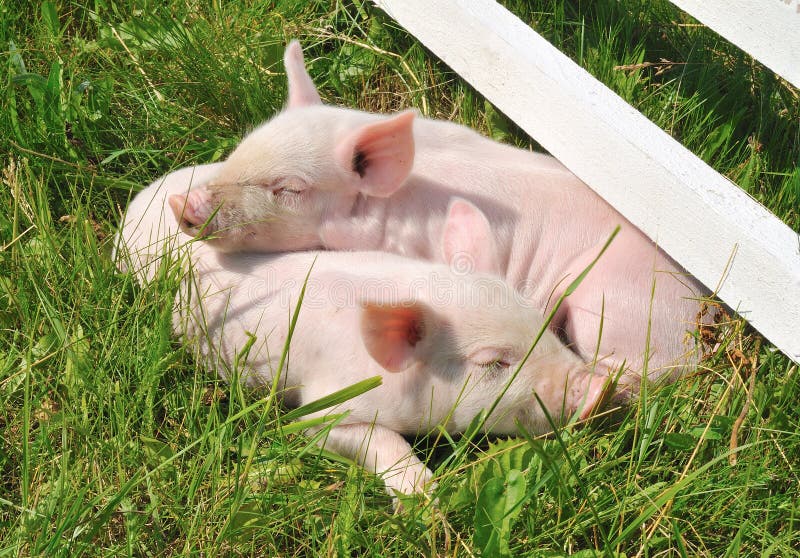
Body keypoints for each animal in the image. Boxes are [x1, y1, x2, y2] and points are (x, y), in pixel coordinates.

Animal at [118, 164, 609, 498]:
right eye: (494, 362)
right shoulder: (324, 407)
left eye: (542, 325)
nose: (599, 387)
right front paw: (428, 502)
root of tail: (141, 200)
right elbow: (377, 440)